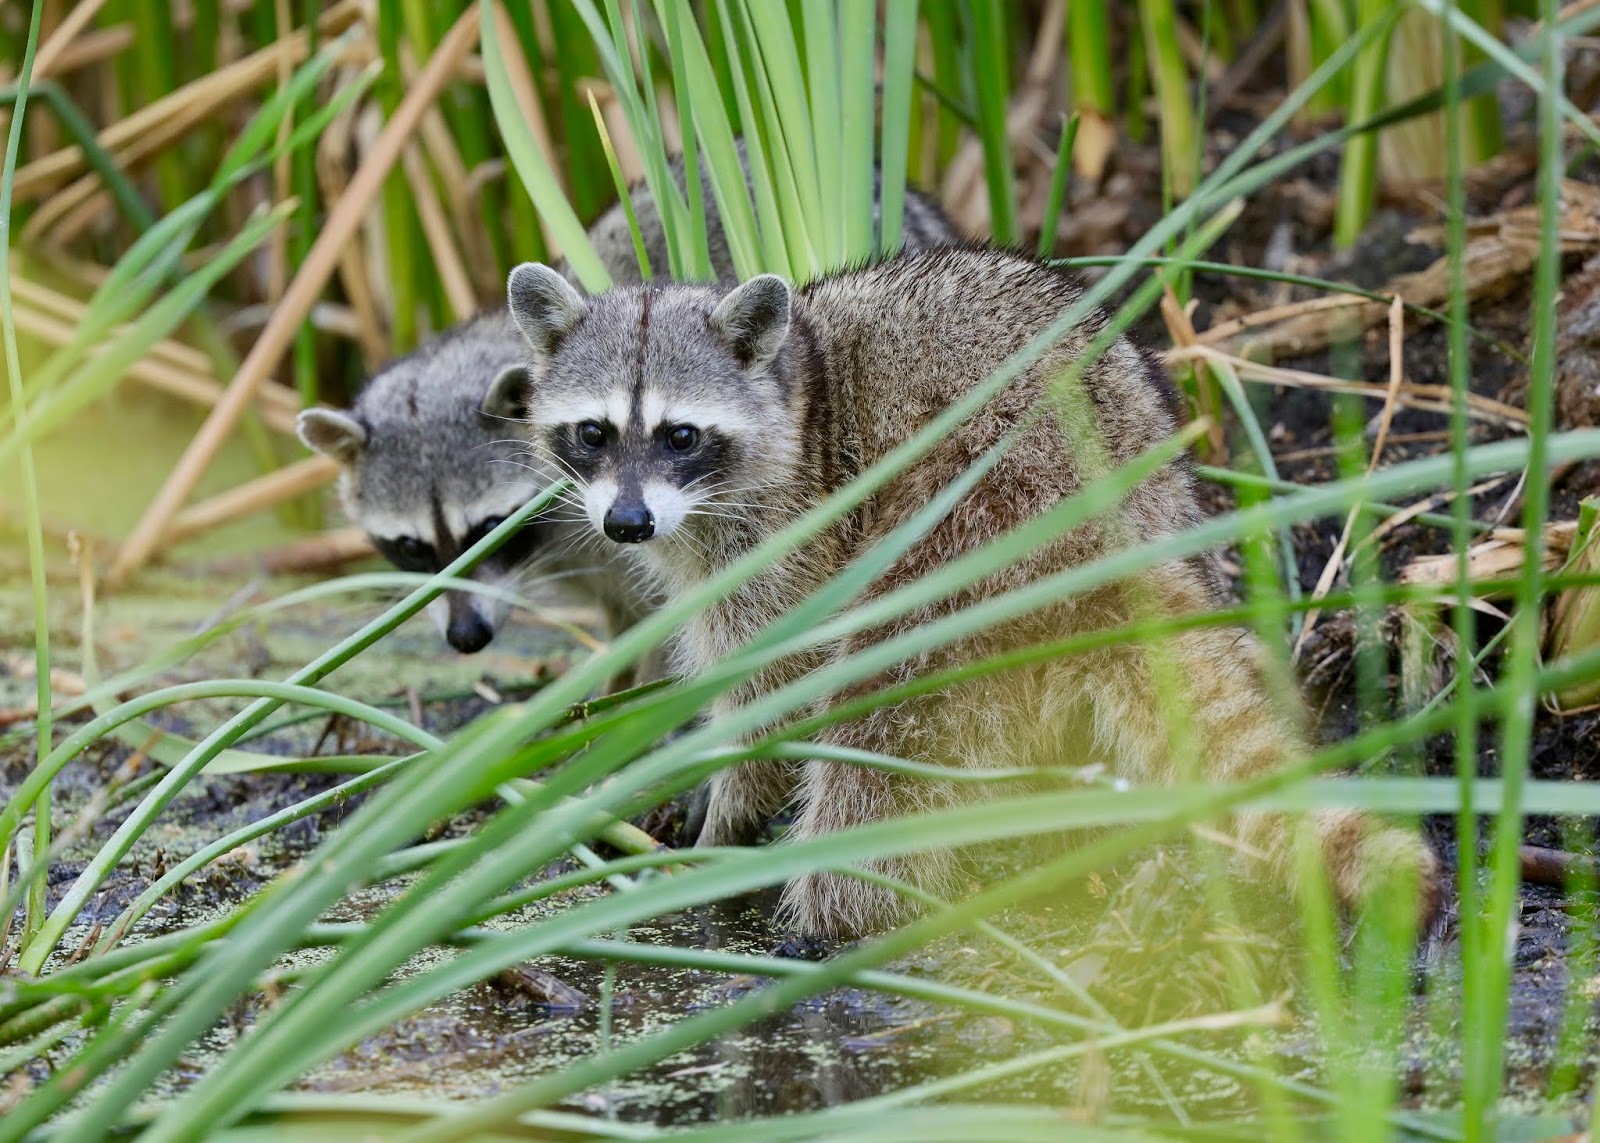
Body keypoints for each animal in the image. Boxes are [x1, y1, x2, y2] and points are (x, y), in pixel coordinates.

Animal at [503, 246, 1442, 939]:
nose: (627, 522)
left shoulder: (794, 538)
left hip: (968, 530)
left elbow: (776, 695)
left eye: (680, 435)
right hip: (1163, 486)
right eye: (593, 432)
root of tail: (1105, 538)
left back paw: (831, 920)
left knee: (880, 715)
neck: (799, 388)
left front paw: (722, 819)